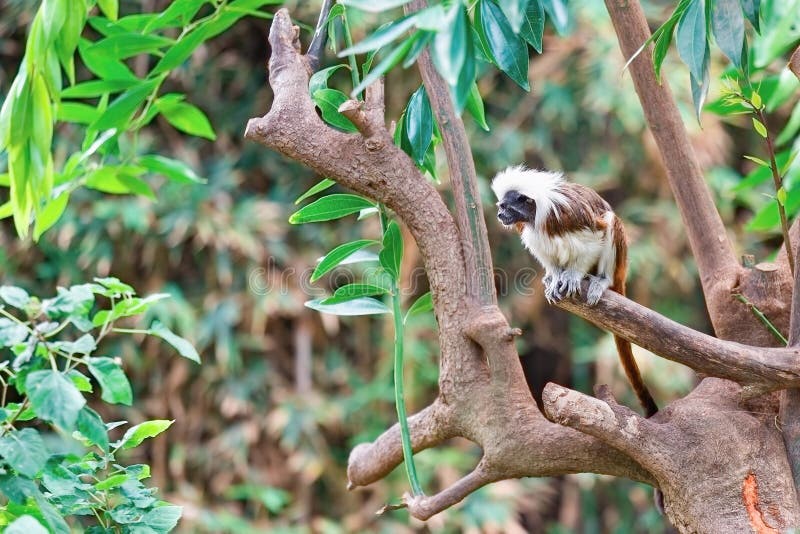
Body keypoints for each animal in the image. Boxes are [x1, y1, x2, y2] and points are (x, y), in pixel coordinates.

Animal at [491, 165, 658, 418]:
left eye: (506, 207)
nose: (500, 216)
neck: (536, 213)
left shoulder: (567, 214)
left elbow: (596, 236)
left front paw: (572, 276)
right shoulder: (529, 226)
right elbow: (540, 246)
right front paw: (554, 276)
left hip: (617, 264)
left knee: (610, 221)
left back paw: (600, 280)